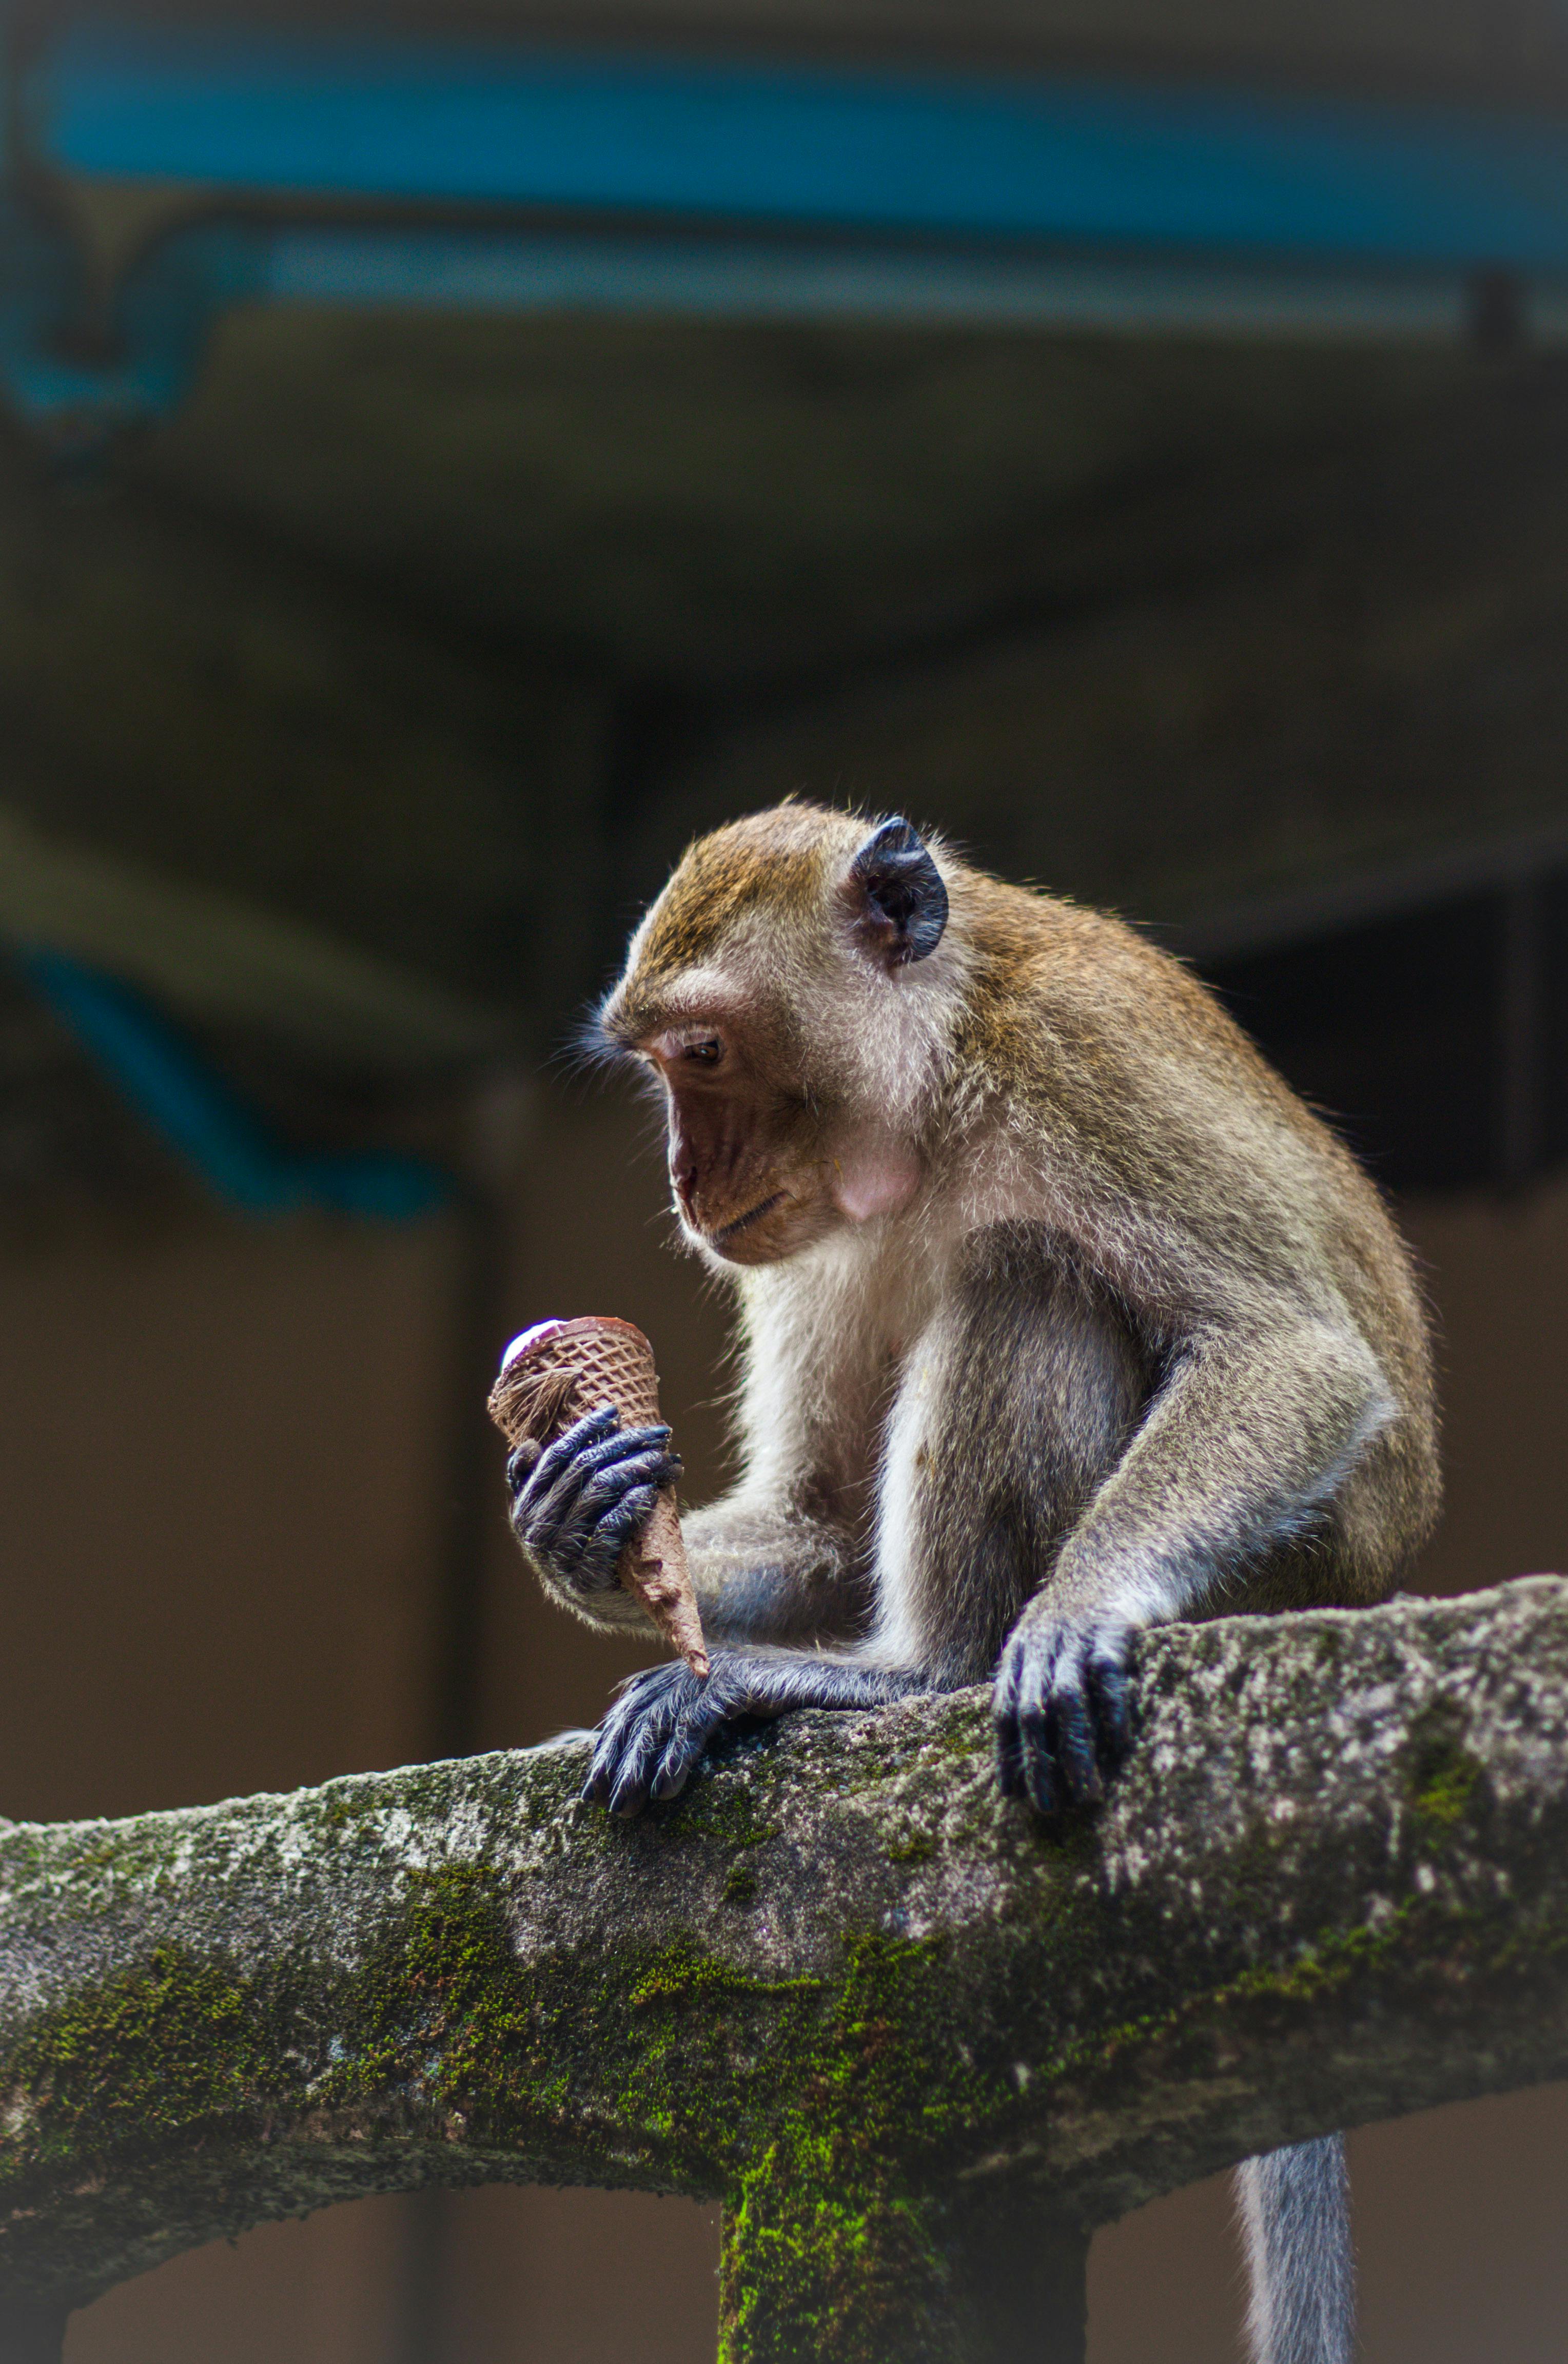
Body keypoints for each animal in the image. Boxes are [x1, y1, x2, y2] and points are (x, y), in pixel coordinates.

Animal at [506, 802, 1440, 2364]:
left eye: (705, 1052)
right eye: (663, 1068)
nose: (686, 1181)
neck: (932, 1100)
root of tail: (1336, 1606)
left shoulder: (1081, 1064)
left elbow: (1292, 1353)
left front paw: (1076, 1611)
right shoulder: (806, 1234)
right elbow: (820, 1516)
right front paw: (582, 1518)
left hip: (1267, 1560)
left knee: (1032, 1276)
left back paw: (905, 1672)